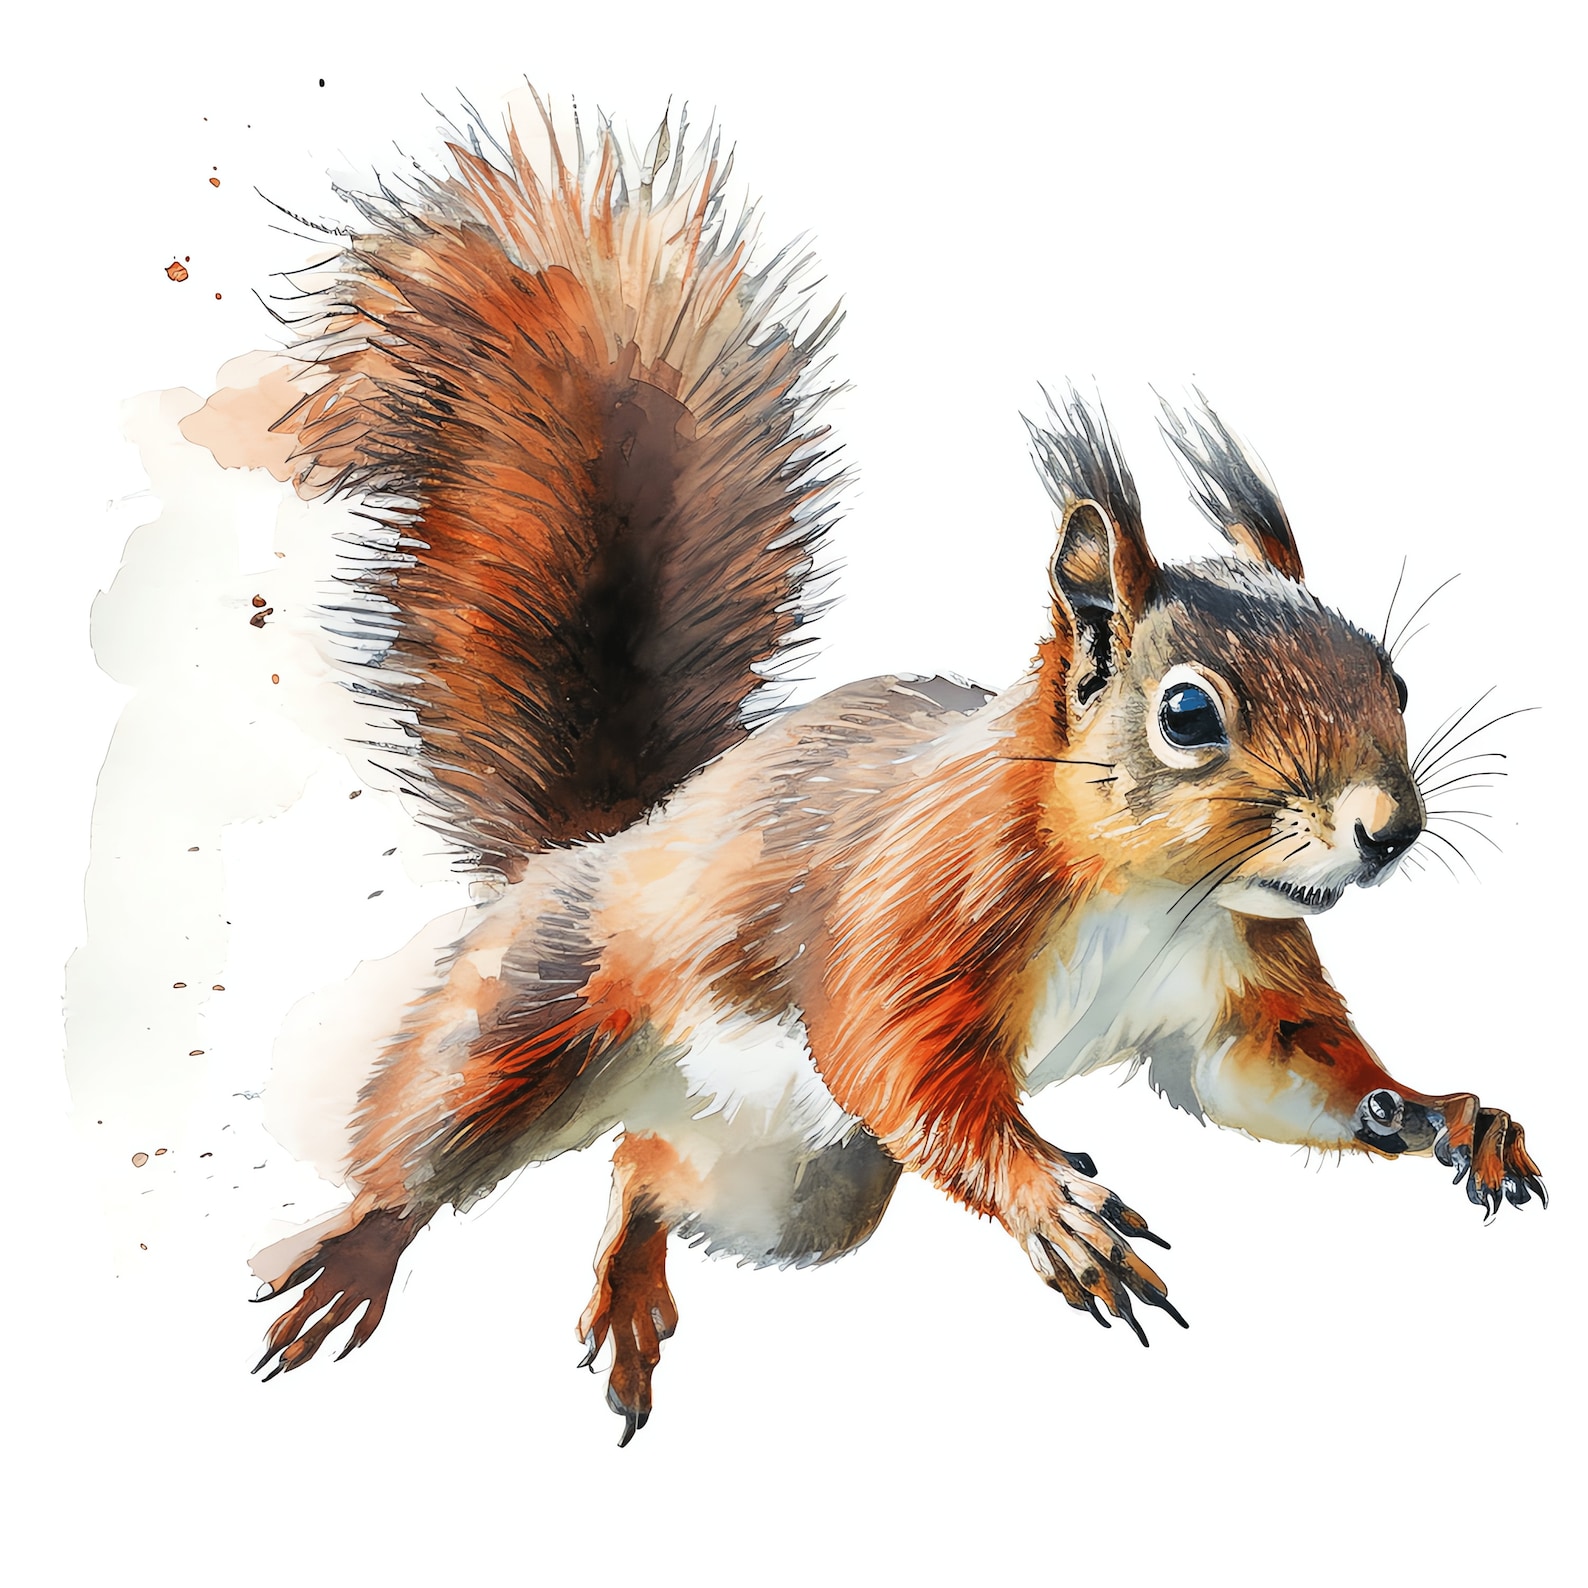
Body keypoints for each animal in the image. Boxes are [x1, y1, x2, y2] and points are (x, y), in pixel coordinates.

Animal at [248, 91, 1546, 1445]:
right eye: (1189, 713)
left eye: (1392, 677)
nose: (1389, 827)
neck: (1147, 896)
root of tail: (607, 839)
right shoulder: (916, 904)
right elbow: (892, 1054)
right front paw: (1049, 1203)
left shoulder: (1231, 982)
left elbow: (1263, 1074)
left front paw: (1436, 1112)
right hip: (539, 1005)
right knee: (435, 1129)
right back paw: (357, 1248)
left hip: (797, 1185)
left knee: (645, 1168)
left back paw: (630, 1284)